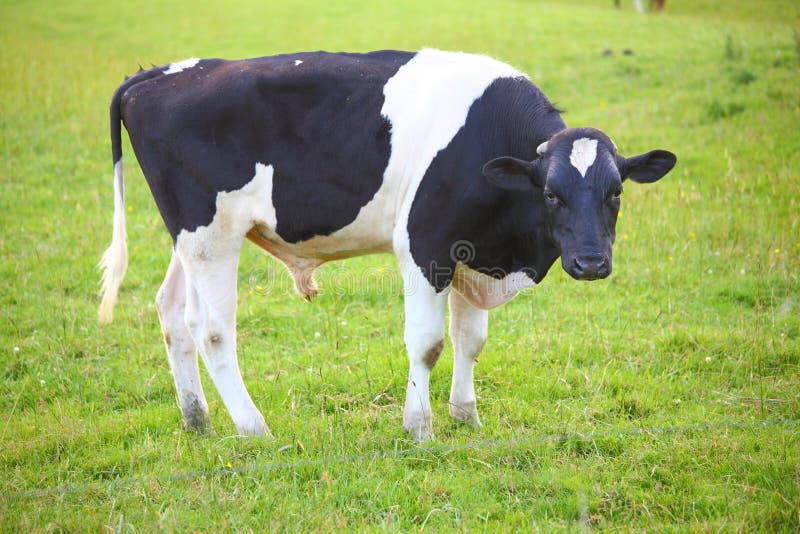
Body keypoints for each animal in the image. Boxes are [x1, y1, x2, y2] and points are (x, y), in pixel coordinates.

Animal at [99, 49, 676, 441]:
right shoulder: (426, 245)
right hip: (210, 234)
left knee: (173, 312)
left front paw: (466, 417)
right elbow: (427, 343)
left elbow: (471, 340)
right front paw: (419, 427)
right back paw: (254, 427)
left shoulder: (473, 250)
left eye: (616, 192)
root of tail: (159, 74)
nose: (591, 262)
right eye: (552, 193)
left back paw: (196, 420)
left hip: (189, 236)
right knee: (214, 331)